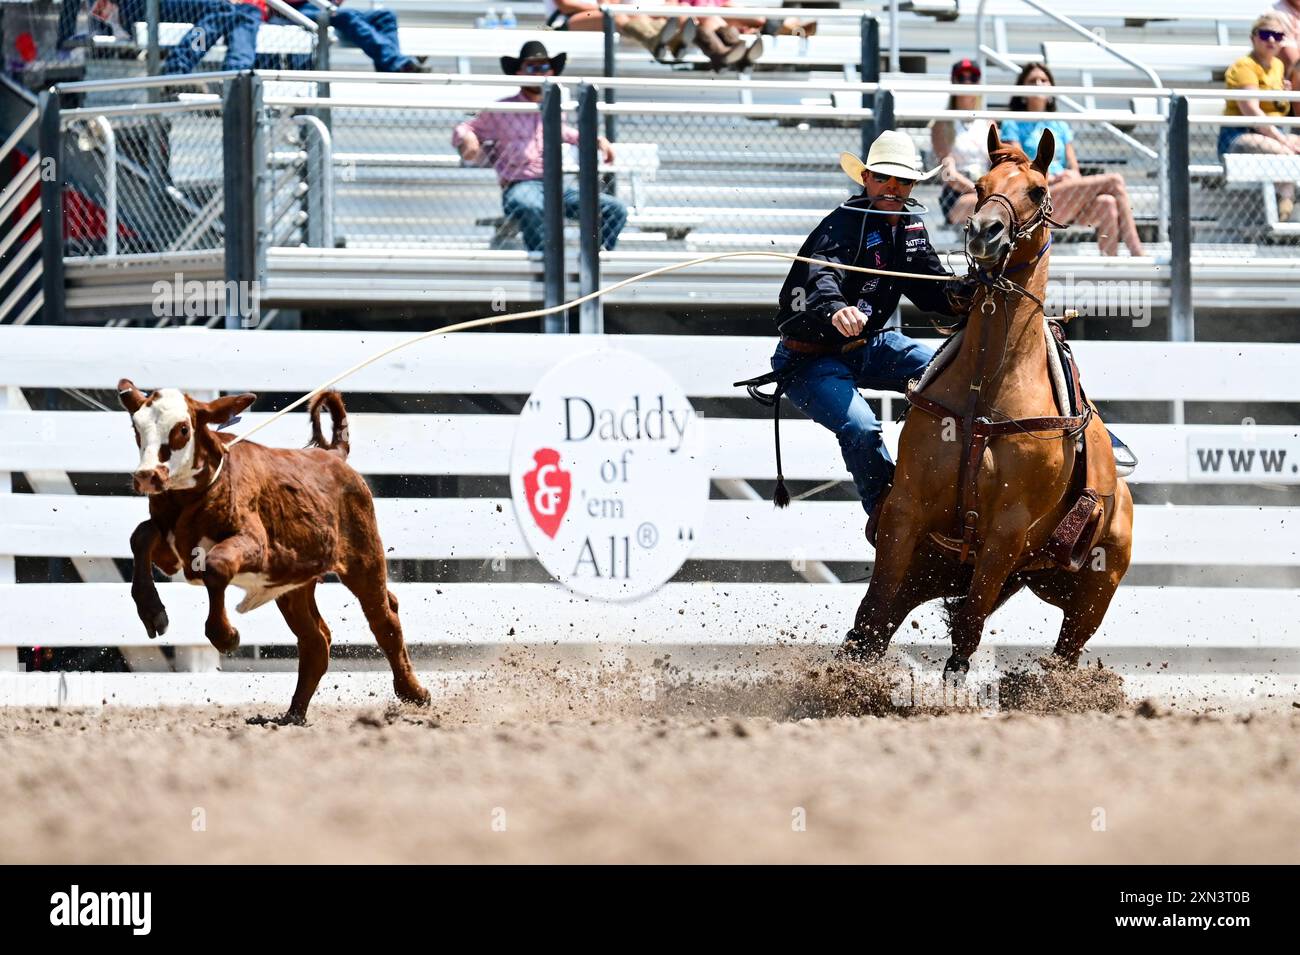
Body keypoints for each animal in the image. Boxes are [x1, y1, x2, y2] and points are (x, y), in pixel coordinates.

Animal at [117, 379, 431, 724]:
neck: (191, 499)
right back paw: (293, 714)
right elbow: (141, 536)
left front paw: (226, 635)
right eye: (136, 427)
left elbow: (217, 563)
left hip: (364, 560)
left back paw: (414, 692)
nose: (147, 476)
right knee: (316, 641)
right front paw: (152, 613)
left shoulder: (257, 545)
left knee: (384, 621)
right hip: (293, 585)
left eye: (183, 429)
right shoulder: (172, 554)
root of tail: (333, 454)